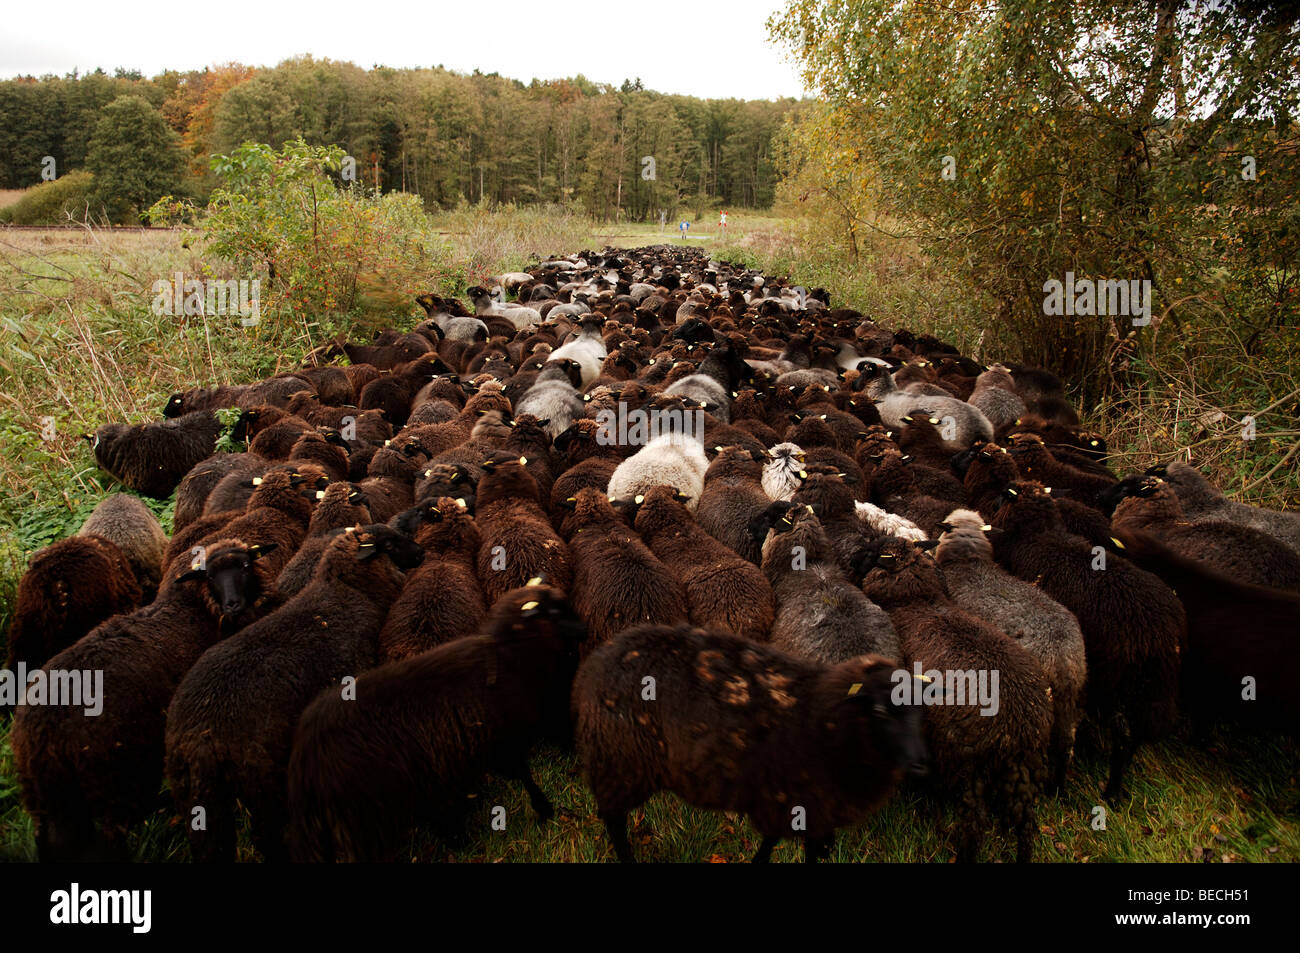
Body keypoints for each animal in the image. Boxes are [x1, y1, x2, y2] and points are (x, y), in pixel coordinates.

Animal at [165, 524, 424, 863]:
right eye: (390, 544)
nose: (421, 552)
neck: (351, 591)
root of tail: (201, 736)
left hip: (195, 793)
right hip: (262, 781)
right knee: (266, 835)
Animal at [288, 582, 587, 862]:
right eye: (556, 611)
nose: (584, 629)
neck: (507, 655)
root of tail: (304, 755)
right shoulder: (503, 742)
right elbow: (524, 774)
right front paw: (543, 807)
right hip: (366, 821)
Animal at [573, 625, 926, 862]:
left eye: (919, 709)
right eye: (880, 710)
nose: (919, 764)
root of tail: (597, 661)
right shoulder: (797, 802)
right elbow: (784, 844)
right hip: (622, 761)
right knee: (613, 819)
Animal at [855, 535, 1053, 862]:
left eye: (876, 552)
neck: (918, 601)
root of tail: (1017, 725)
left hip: (966, 765)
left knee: (973, 822)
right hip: (1026, 767)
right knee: (1026, 823)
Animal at [990, 481, 1185, 801]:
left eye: (1002, 498)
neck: (1038, 535)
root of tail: (1162, 631)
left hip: (1116, 679)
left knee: (1123, 735)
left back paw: (1112, 792)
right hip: (1147, 684)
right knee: (1139, 729)